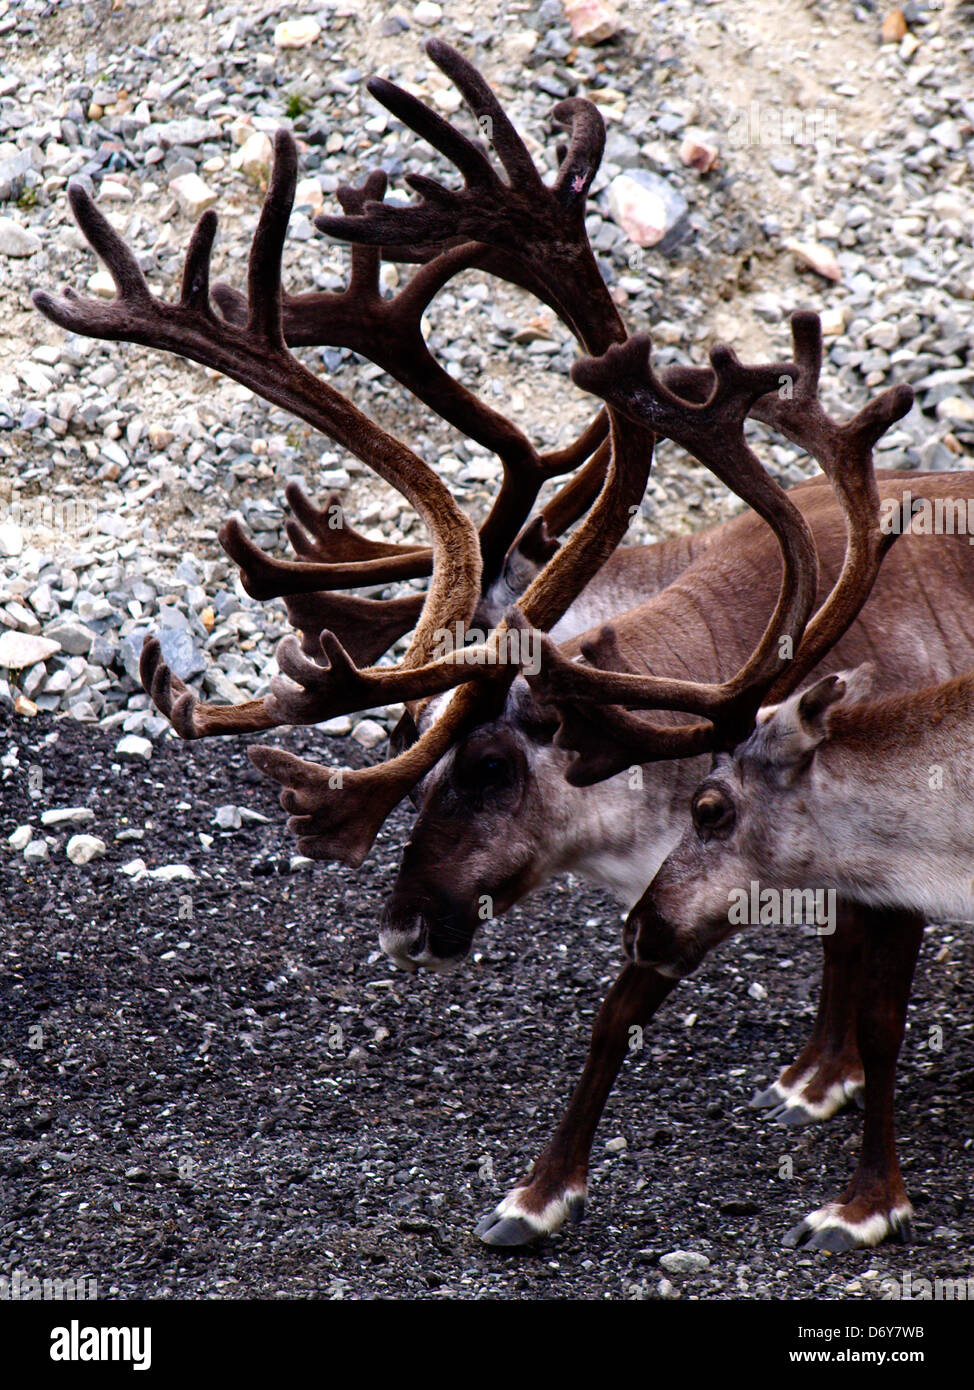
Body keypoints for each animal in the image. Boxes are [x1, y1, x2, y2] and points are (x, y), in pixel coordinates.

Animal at [32, 40, 974, 1251]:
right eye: (412, 742)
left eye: (485, 765)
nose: (398, 930)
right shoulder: (714, 865)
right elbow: (626, 1006)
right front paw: (541, 1193)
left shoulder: (869, 849)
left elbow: (879, 1004)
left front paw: (866, 1198)